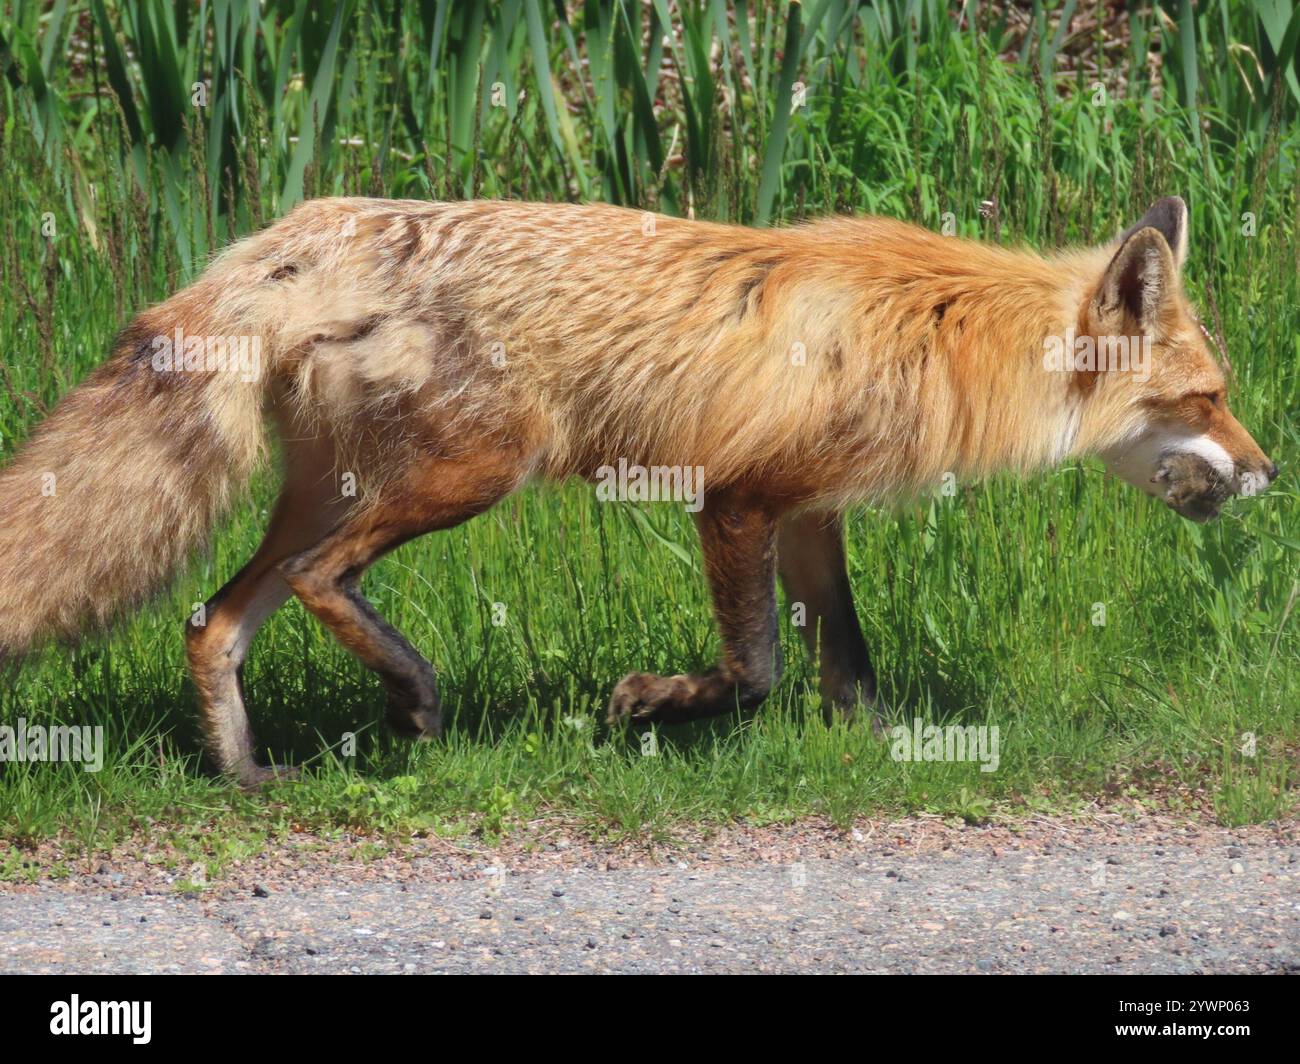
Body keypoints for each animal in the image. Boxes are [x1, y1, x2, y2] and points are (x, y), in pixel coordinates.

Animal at [0, 195, 1277, 786]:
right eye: (1209, 398)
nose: (1270, 472)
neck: (938, 333)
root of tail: (305, 226)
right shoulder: (735, 501)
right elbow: (755, 671)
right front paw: (649, 703)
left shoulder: (813, 512)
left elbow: (849, 666)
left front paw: (878, 752)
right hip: (467, 471)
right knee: (316, 583)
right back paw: (412, 697)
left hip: (329, 490)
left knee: (213, 620)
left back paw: (246, 774)